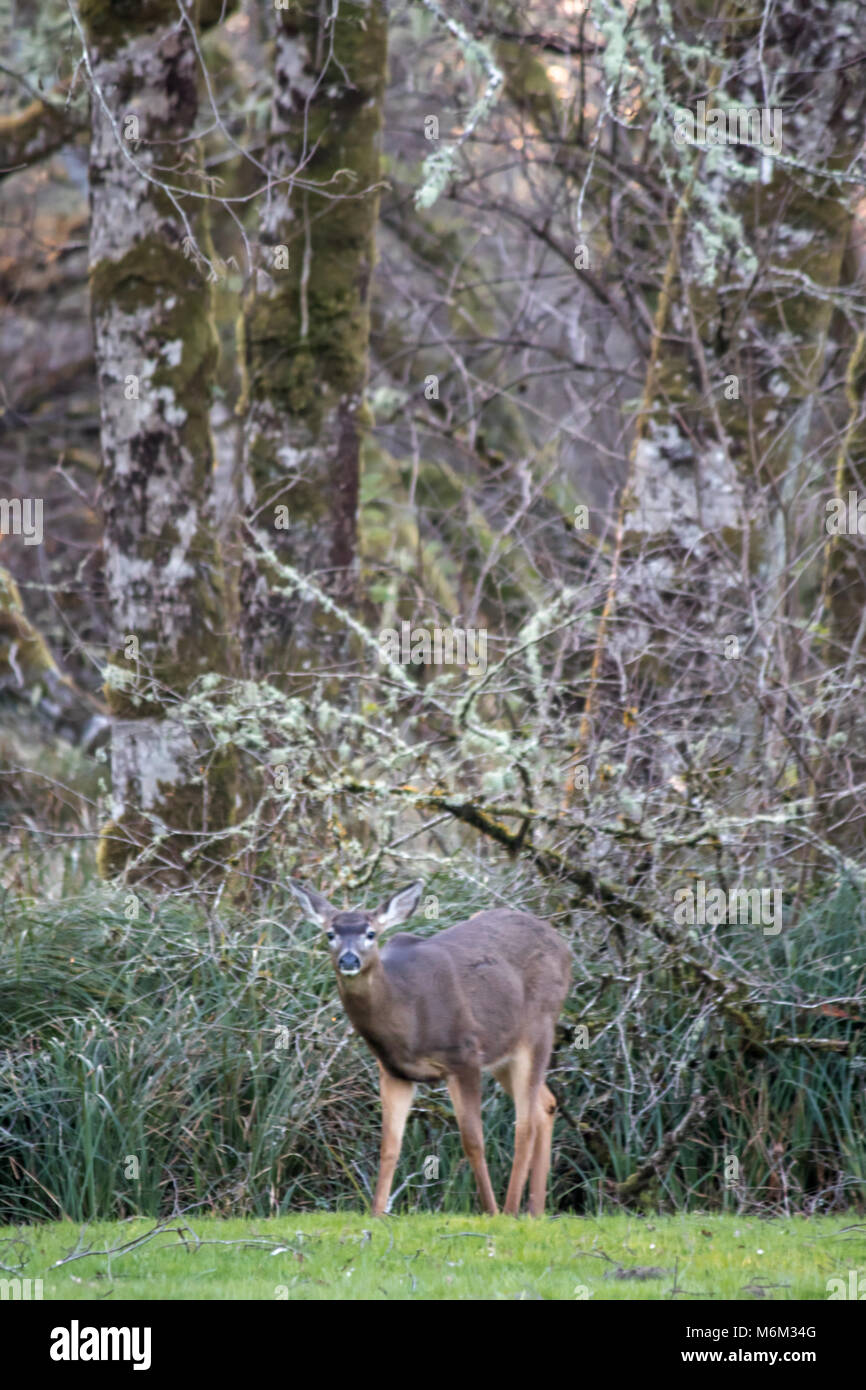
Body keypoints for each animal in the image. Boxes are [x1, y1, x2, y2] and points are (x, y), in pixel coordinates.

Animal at [289, 878, 571, 1217]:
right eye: (330, 934)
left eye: (371, 933)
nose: (349, 960)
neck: (408, 1016)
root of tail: (563, 944)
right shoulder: (394, 1071)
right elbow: (389, 1147)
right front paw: (376, 1215)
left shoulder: (464, 1055)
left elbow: (473, 1142)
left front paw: (489, 1211)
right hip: (504, 1053)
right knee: (546, 1104)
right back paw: (535, 1211)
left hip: (538, 1029)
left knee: (525, 1124)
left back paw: (510, 1210)